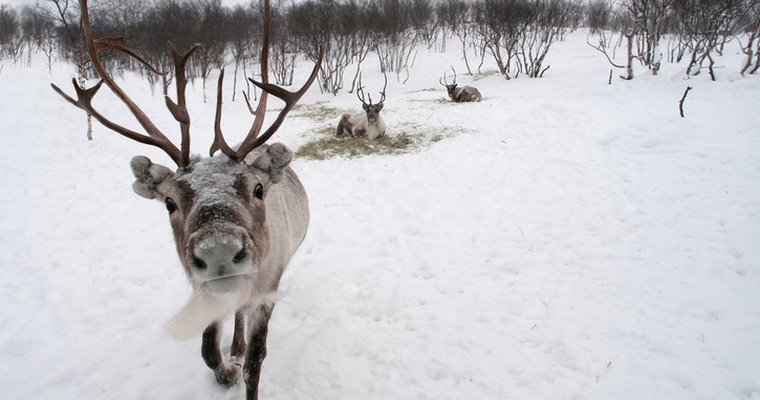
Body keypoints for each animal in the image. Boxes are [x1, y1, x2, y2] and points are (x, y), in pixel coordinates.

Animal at [50, 1, 321, 399]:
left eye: (258, 189)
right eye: (169, 203)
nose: (219, 252)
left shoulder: (267, 289)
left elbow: (256, 362)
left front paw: (240, 366)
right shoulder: (202, 288)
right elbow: (208, 349)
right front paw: (226, 369)